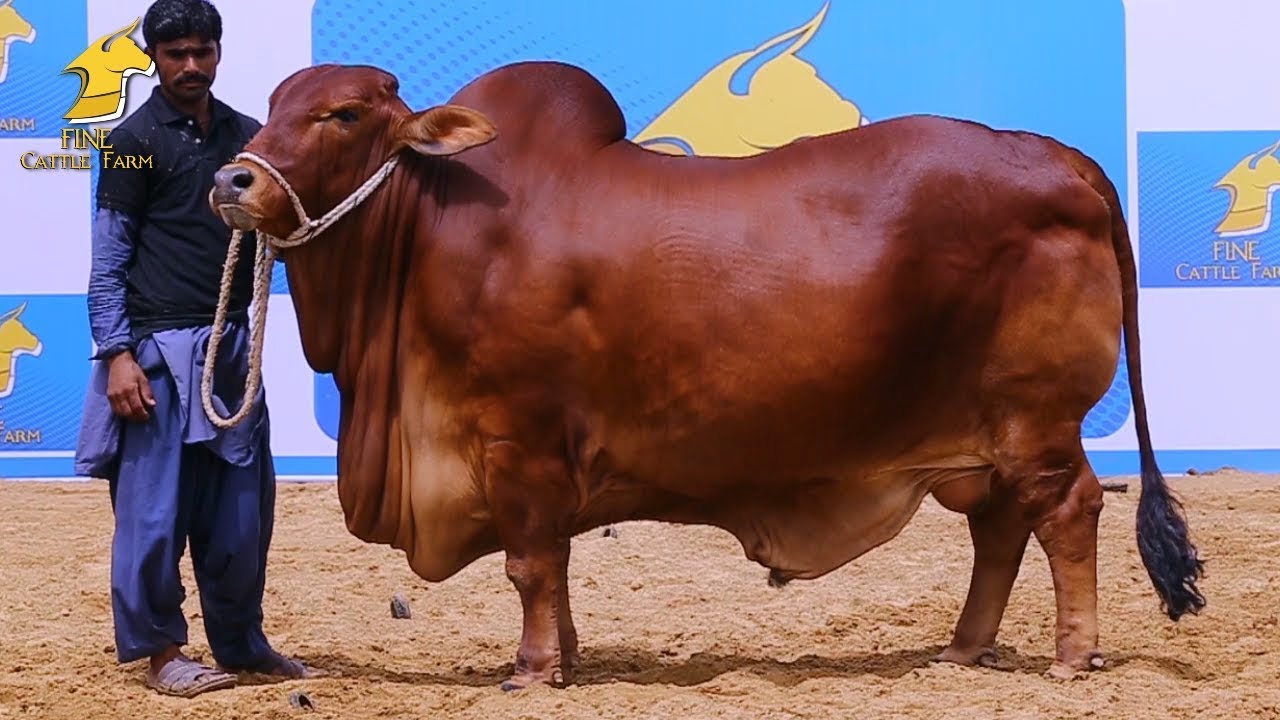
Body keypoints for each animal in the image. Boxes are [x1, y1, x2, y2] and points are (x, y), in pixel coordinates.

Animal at [209, 61, 1205, 691]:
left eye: (342, 113)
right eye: (273, 102)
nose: (232, 180)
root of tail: (1063, 158)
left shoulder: (518, 442)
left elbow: (531, 565)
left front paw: (532, 670)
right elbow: (556, 568)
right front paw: (568, 657)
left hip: (1038, 422)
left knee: (1067, 513)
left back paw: (1072, 655)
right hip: (983, 438)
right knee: (999, 532)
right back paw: (962, 651)